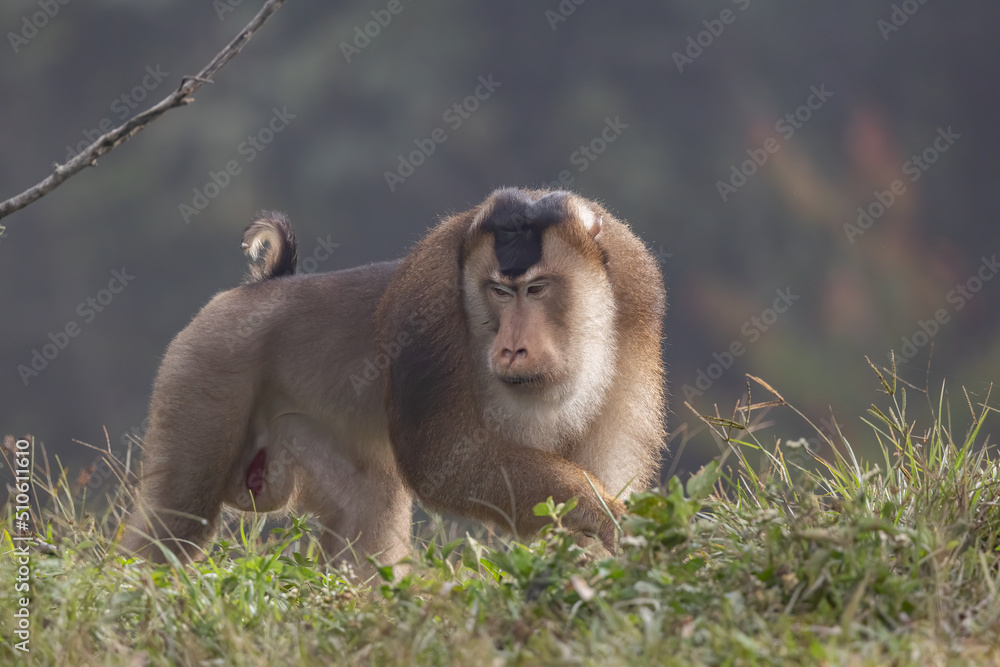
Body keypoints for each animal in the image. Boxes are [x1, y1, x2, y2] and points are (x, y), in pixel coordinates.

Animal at [120, 188, 665, 576]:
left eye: (535, 289)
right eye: (499, 291)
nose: (512, 349)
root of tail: (258, 288)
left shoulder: (635, 309)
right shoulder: (429, 313)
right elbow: (445, 463)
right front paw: (601, 512)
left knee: (367, 503)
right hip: (208, 368)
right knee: (178, 517)